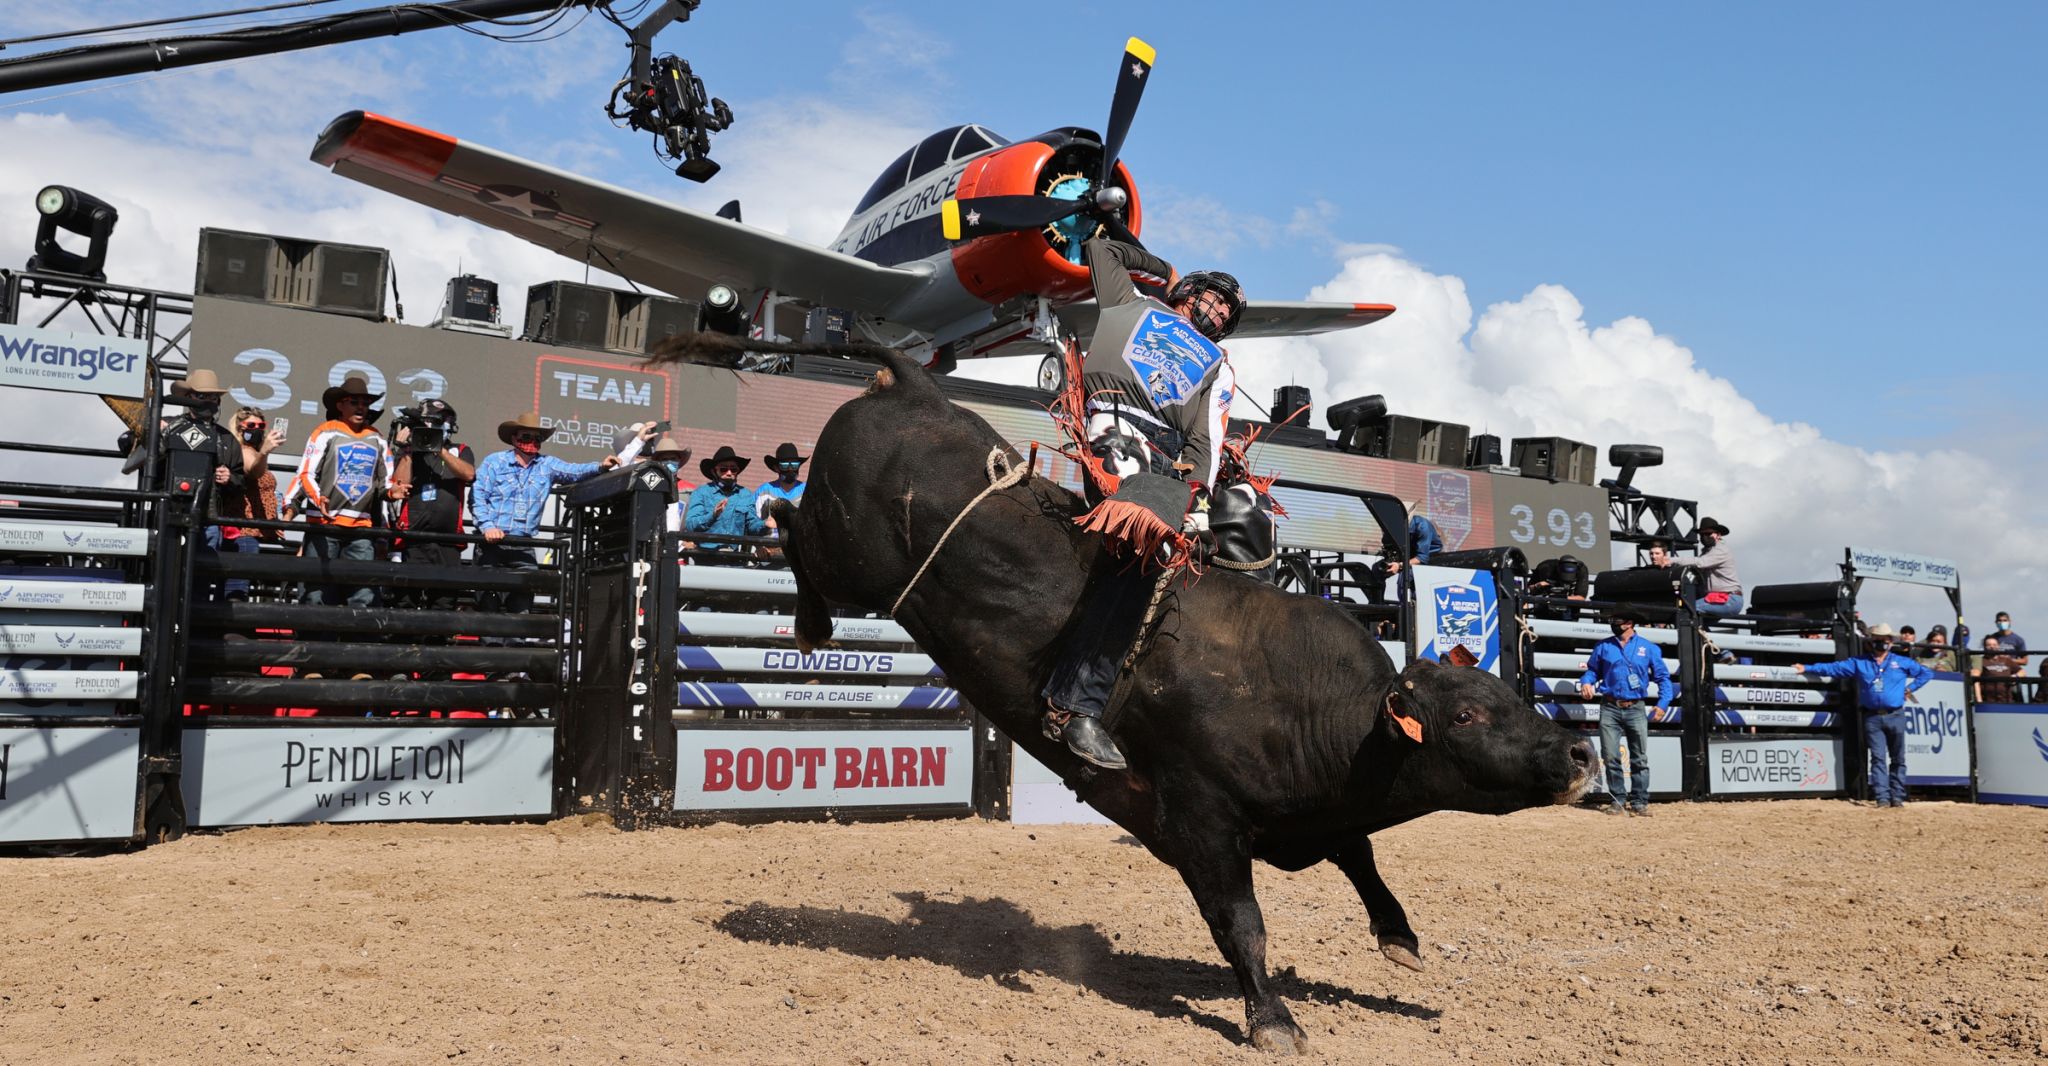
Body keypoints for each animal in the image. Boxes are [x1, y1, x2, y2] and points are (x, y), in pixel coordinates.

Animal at [661, 336, 1597, 1054]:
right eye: (1467, 715)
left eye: (1506, 695)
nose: (1579, 750)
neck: (1318, 710)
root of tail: (912, 383)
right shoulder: (1200, 817)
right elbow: (1242, 922)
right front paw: (1273, 1020)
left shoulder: (1318, 813)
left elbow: (1361, 855)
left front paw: (1398, 938)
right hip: (851, 549)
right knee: (794, 529)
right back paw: (809, 617)